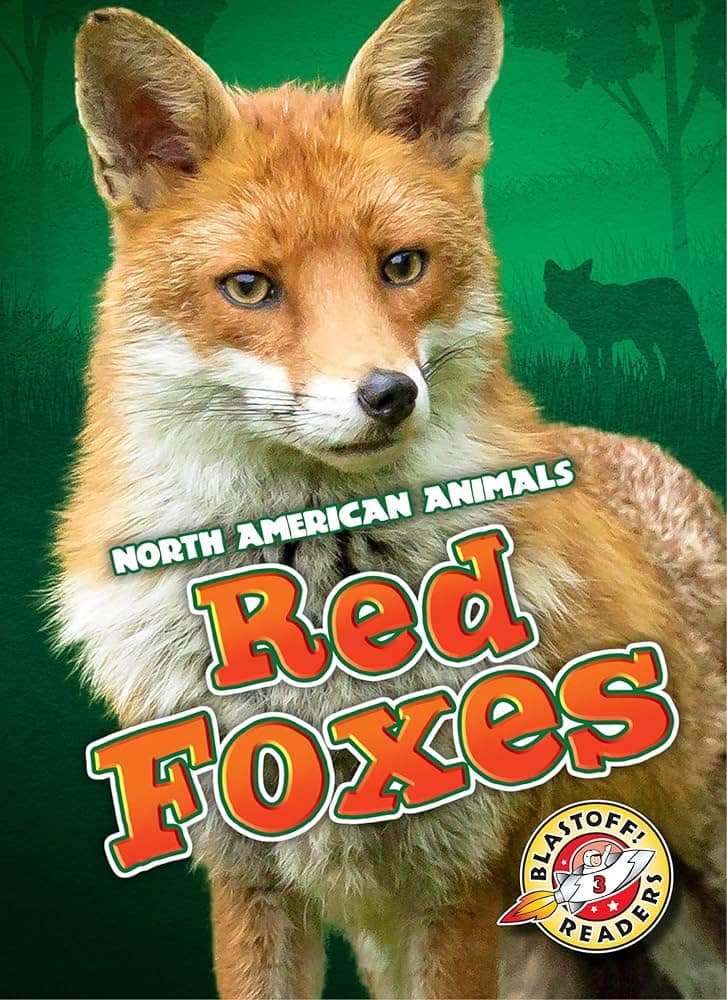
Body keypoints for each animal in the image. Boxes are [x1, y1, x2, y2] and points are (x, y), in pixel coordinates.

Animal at [544, 258, 713, 376]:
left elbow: (606, 365)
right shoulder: (590, 342)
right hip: (650, 342)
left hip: (663, 340)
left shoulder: (605, 341)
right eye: (561, 288)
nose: (568, 299)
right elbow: (594, 365)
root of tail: (678, 285)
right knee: (661, 364)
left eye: (575, 288)